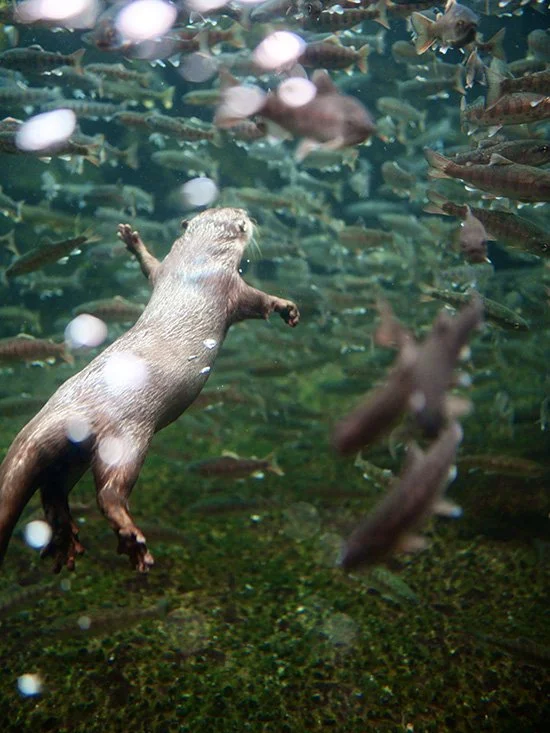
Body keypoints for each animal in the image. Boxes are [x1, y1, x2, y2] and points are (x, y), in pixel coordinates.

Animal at [0, 208, 299, 573]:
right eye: (238, 216)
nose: (247, 212)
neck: (195, 262)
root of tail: (58, 411)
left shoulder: (164, 270)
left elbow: (149, 266)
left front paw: (131, 240)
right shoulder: (229, 285)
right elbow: (258, 301)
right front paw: (286, 307)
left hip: (70, 458)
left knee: (53, 493)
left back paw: (66, 543)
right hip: (126, 441)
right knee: (108, 493)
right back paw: (133, 542)